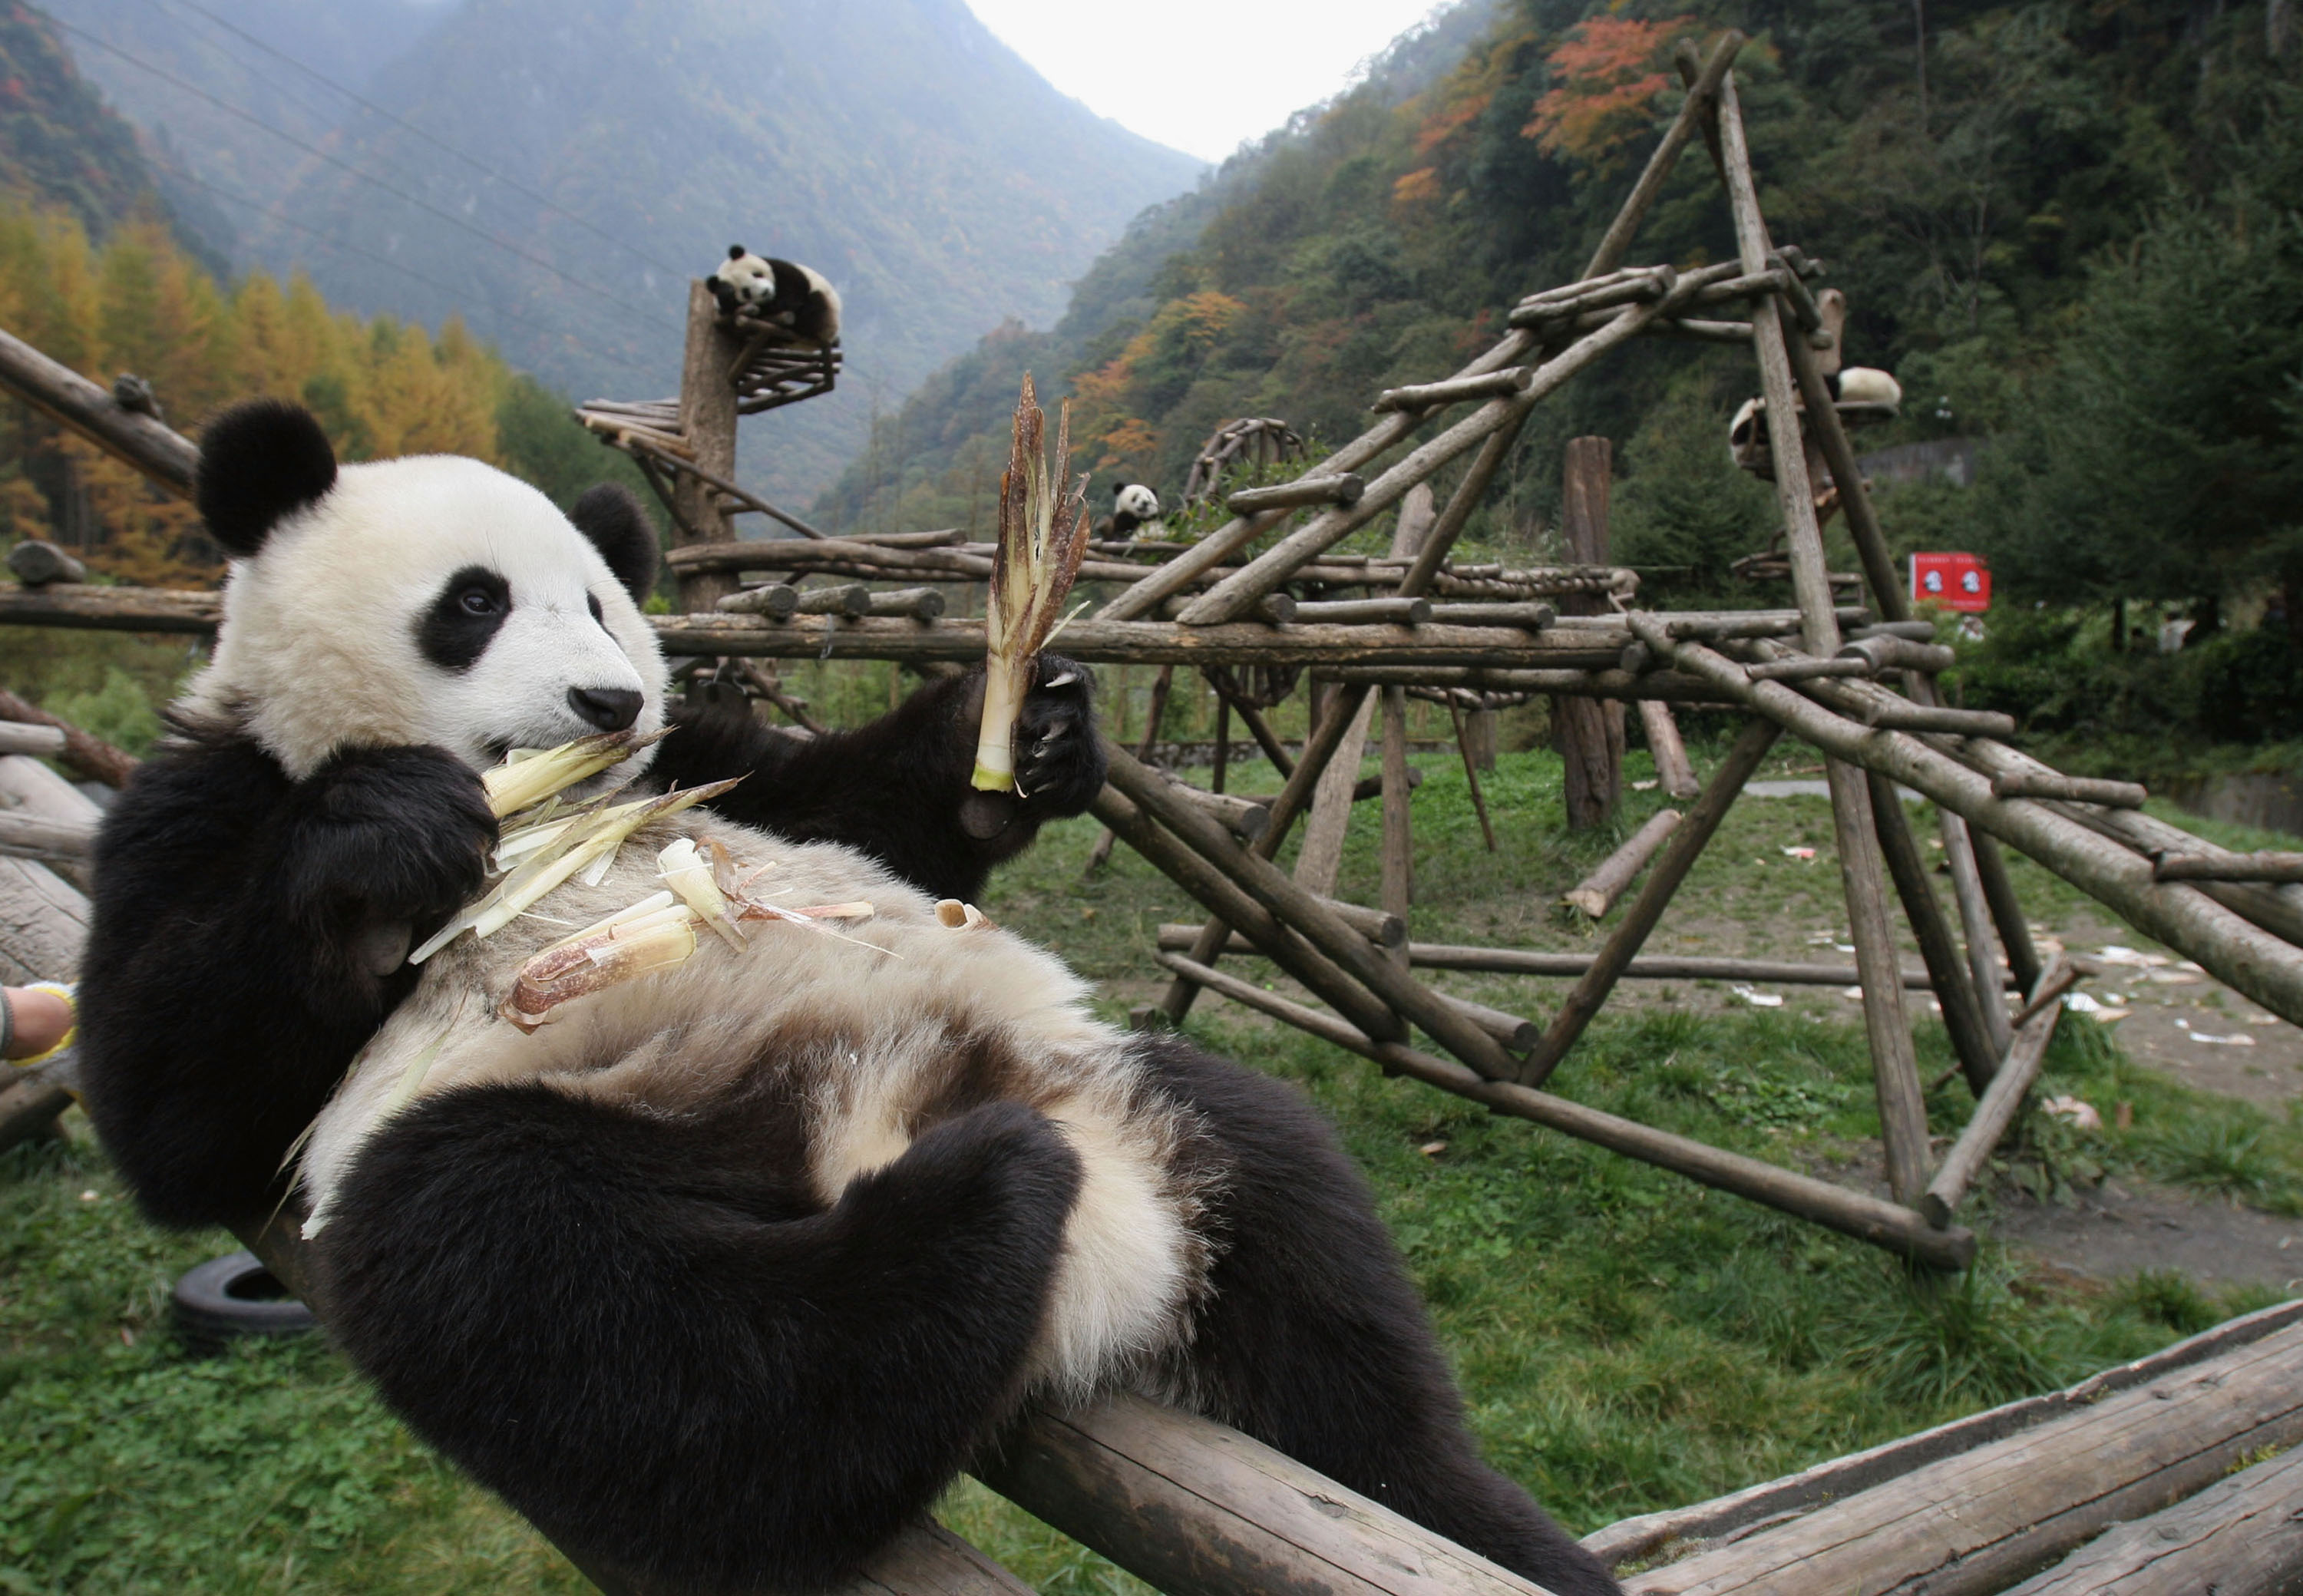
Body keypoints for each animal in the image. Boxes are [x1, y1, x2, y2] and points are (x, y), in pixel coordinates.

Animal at [76, 400, 1620, 1596]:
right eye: (473, 600)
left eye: (603, 603)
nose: (606, 701)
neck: (555, 813)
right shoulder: (208, 798)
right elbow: (173, 1108)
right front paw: (386, 831)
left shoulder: (697, 759)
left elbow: (855, 807)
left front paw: (1024, 734)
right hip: (610, 1129)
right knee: (595, 1308)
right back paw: (975, 1206)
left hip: (1117, 1083)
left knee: (1312, 1267)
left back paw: (1490, 1521)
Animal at [708, 244, 843, 346]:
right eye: (746, 292)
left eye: (756, 274)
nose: (765, 292)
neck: (775, 295)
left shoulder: (779, 268)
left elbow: (796, 284)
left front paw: (787, 302)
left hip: (829, 313)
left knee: (816, 304)